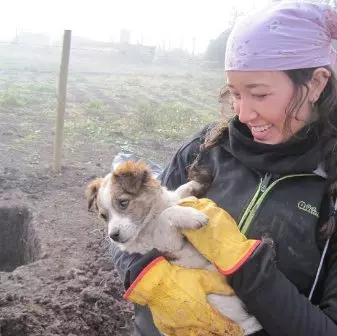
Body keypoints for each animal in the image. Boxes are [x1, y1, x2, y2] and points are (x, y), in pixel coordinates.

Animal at [86, 161, 260, 336]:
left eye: (123, 203)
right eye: (104, 216)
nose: (113, 236)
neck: (149, 221)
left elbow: (177, 194)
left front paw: (197, 183)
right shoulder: (169, 243)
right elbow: (167, 215)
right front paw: (193, 216)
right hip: (216, 300)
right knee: (243, 326)